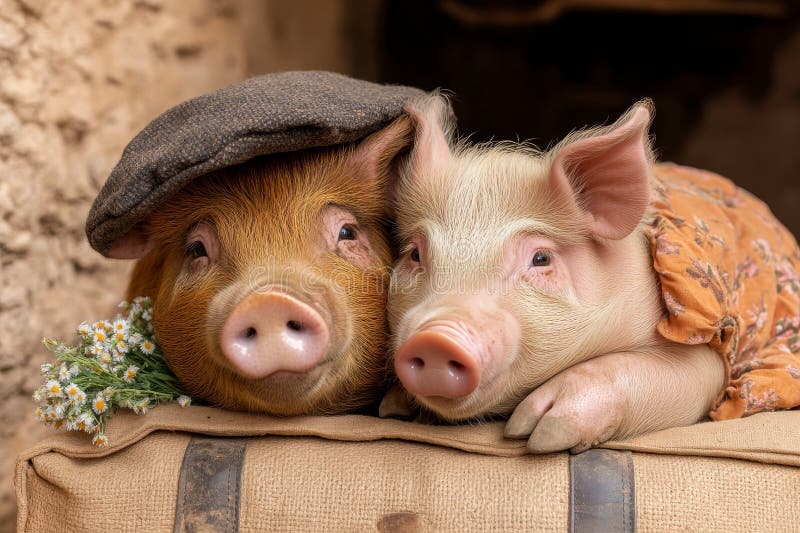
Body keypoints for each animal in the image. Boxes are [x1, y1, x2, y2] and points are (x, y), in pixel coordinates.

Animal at [385, 94, 800, 452]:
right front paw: (393, 407)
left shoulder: (705, 337)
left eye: (540, 258)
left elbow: (690, 375)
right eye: (415, 254)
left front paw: (535, 431)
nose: (435, 339)